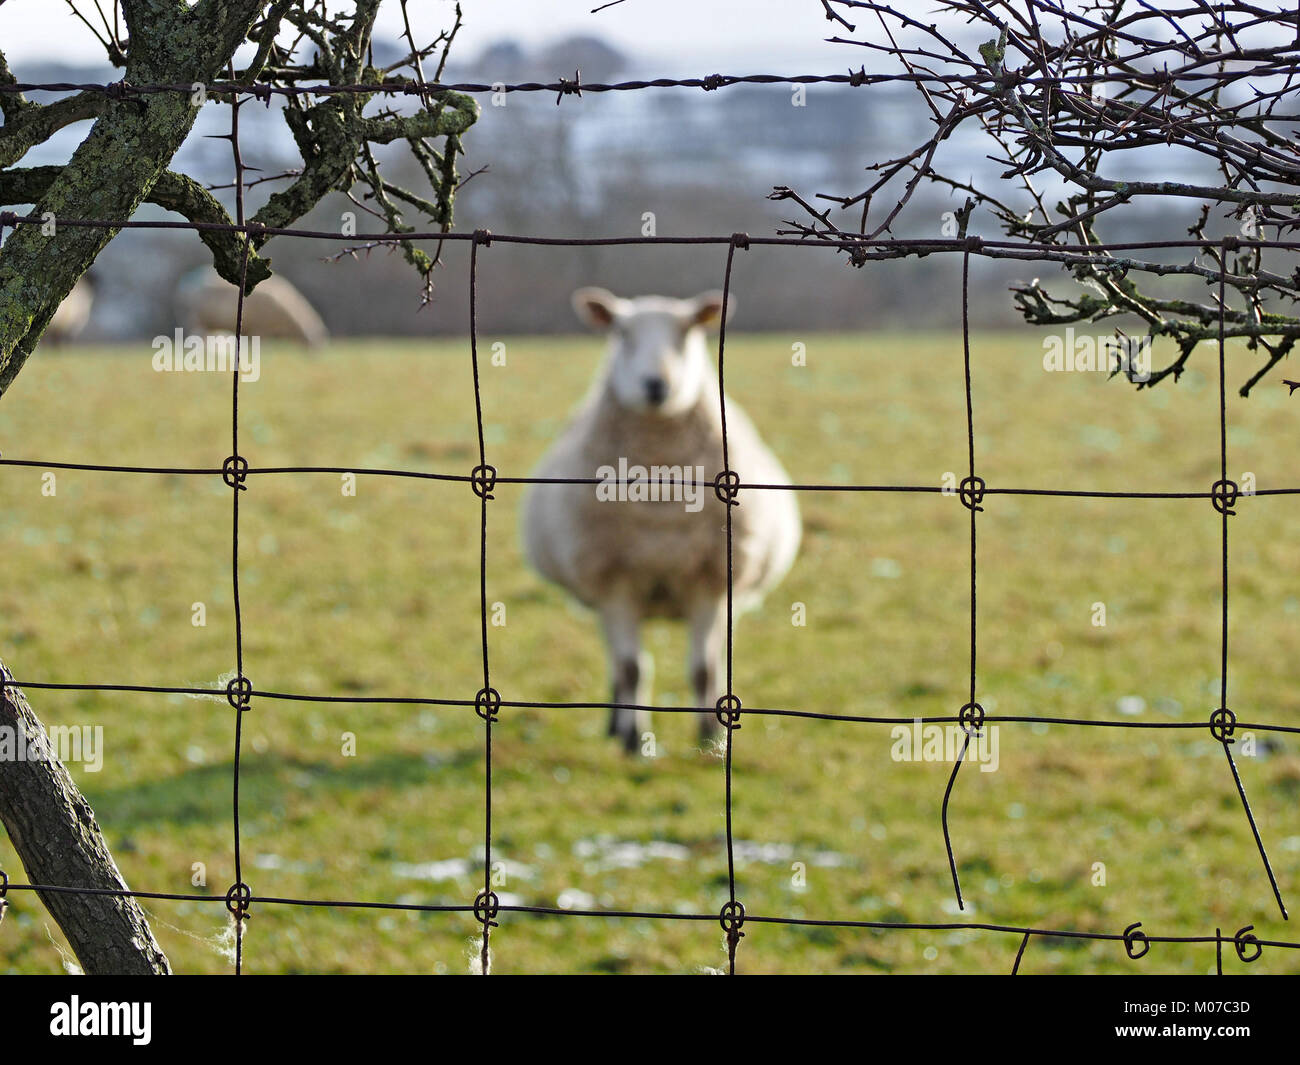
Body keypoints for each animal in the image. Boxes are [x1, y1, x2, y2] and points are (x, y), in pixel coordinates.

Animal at [174, 266, 329, 349]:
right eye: (317, 338)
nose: (316, 355)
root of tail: (187, 281)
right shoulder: (260, 328)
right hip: (194, 316)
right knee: (193, 334)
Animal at [522, 287, 801, 753]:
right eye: (620, 332)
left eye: (688, 332)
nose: (656, 385)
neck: (659, 493)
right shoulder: (614, 582)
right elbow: (632, 668)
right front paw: (633, 740)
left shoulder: (710, 581)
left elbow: (704, 670)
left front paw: (709, 737)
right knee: (618, 663)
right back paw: (614, 722)